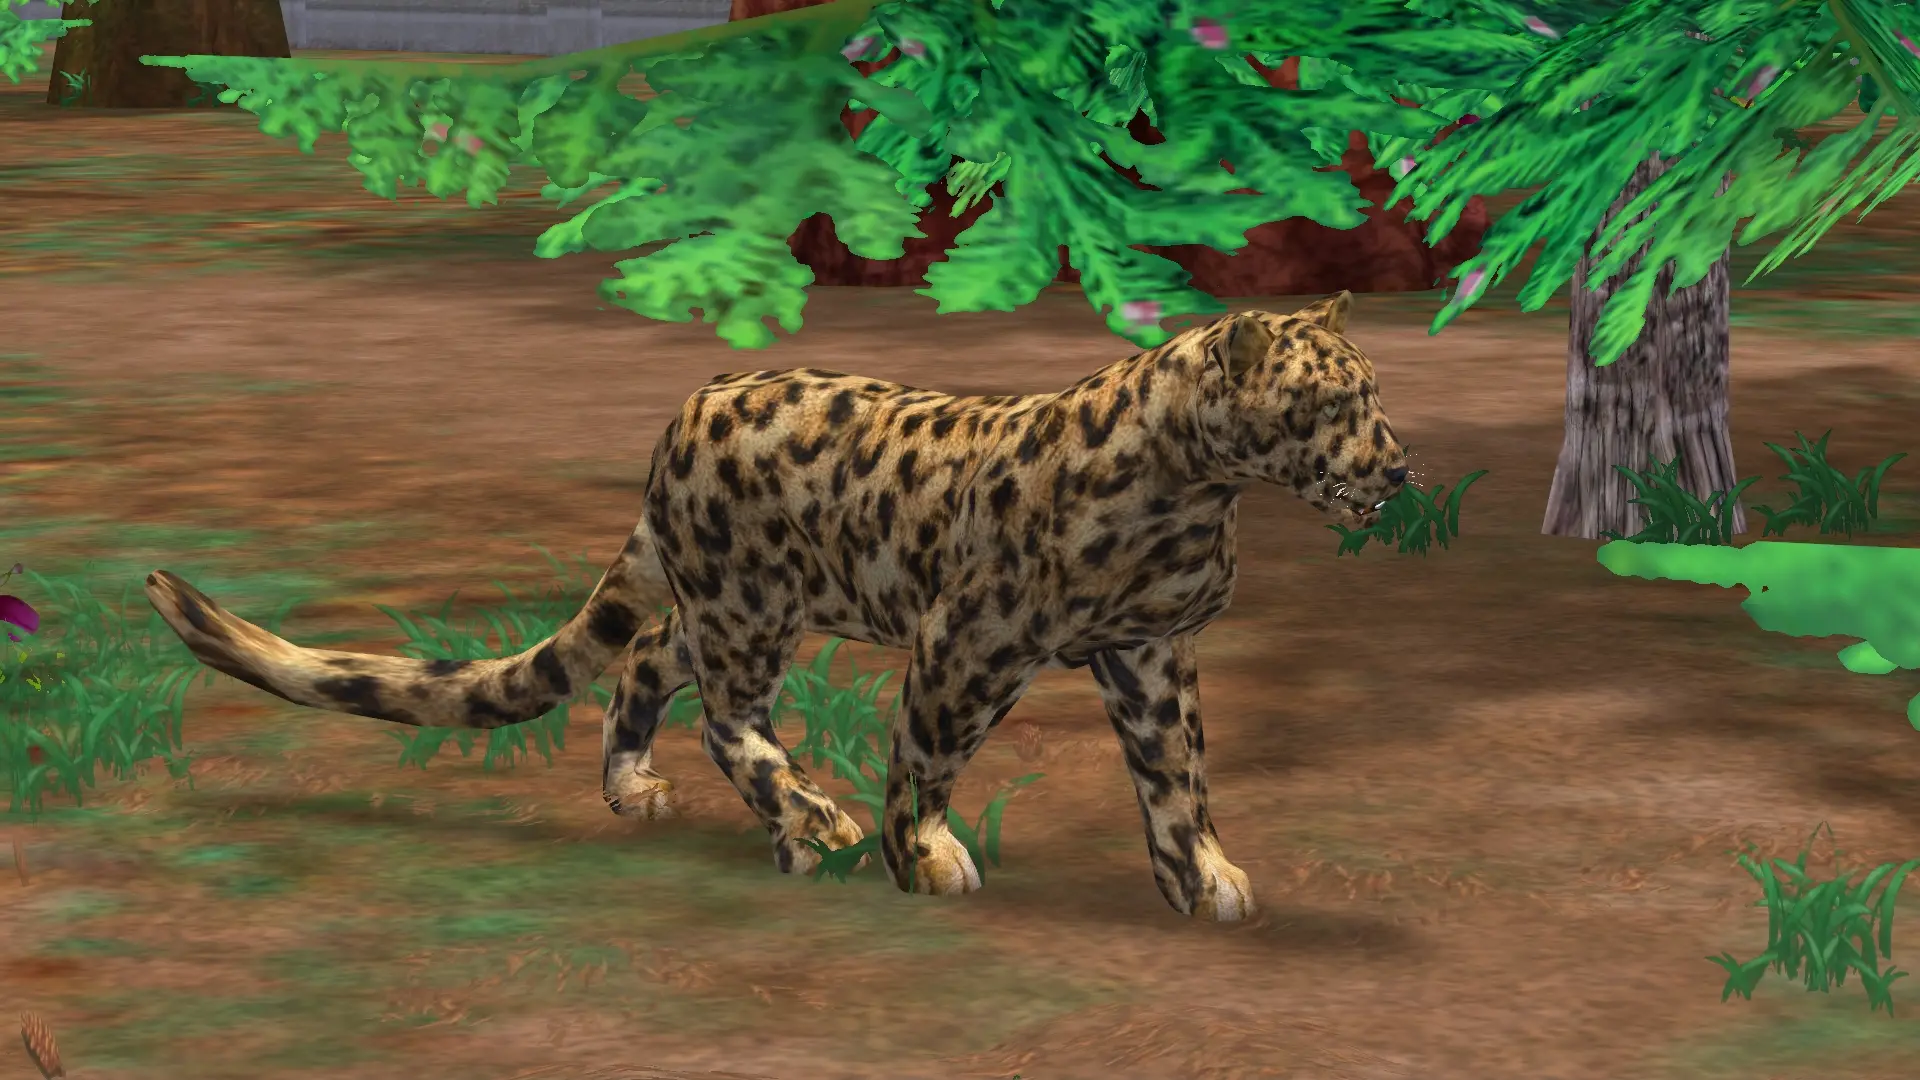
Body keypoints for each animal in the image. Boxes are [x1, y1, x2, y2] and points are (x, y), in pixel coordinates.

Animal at [144, 290, 1408, 922]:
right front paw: (921, 857)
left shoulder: (1149, 650)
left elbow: (1177, 772)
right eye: (1333, 401)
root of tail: (682, 413)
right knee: (721, 718)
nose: (1397, 467)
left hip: (740, 607)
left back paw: (648, 792)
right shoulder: (966, 643)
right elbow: (931, 759)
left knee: (647, 661)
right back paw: (809, 818)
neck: (1197, 485)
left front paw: (1202, 879)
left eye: (1376, 394)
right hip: (749, 610)